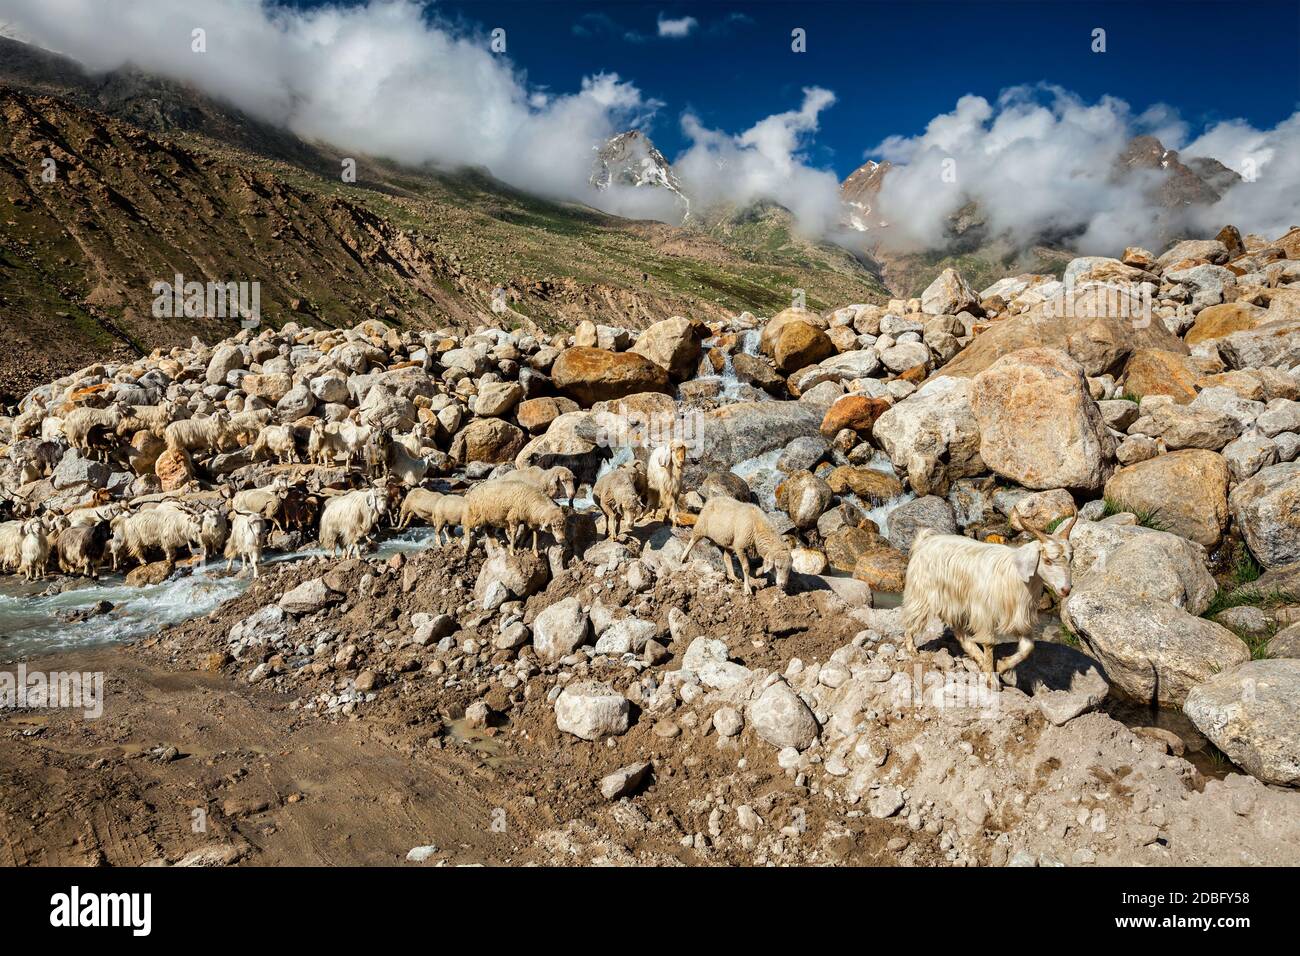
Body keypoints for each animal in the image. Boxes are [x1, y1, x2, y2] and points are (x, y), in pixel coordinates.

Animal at [900, 518, 1076, 676]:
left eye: (1071, 559)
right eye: (1047, 560)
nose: (1066, 590)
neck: (1016, 575)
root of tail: (924, 541)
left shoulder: (1020, 617)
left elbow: (1028, 647)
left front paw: (1002, 666)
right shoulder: (984, 613)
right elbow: (990, 644)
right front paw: (992, 677)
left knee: (960, 632)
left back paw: (976, 655)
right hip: (921, 595)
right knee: (911, 620)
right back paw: (911, 649)